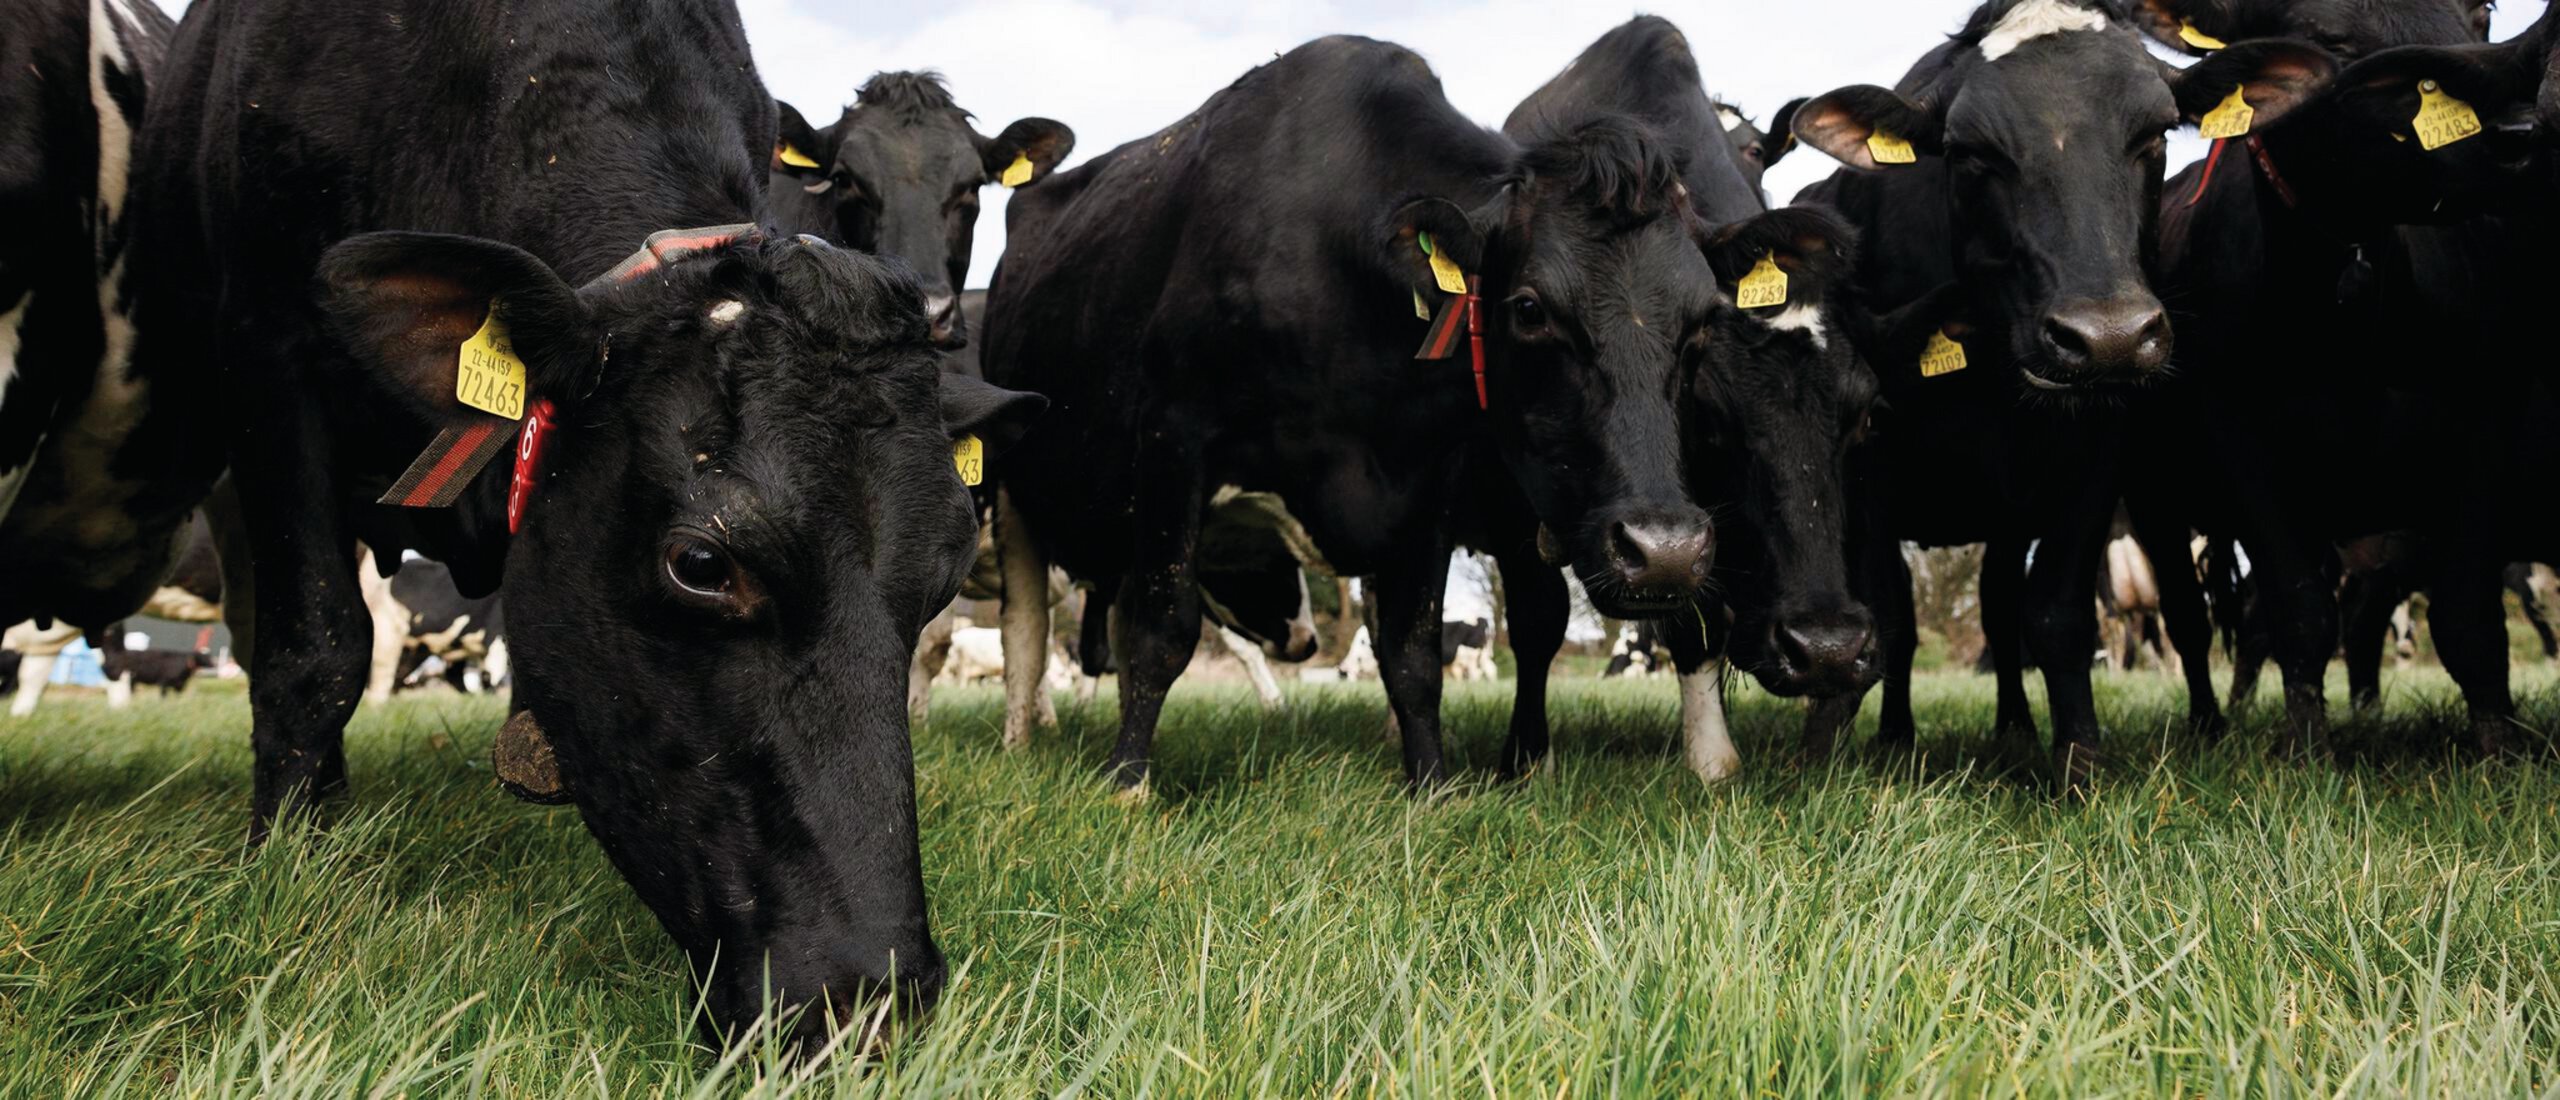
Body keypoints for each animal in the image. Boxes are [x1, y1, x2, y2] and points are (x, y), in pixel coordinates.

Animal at [131, 0, 1046, 1050]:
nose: (873, 997)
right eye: (701, 563)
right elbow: (314, 650)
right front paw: (288, 856)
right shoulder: (268, 363)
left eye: (946, 573)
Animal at [988, 36, 1725, 793]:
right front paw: (1128, 780)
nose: (1665, 550)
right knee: (1027, 632)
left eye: (1707, 319)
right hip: (1017, 493)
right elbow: (1164, 629)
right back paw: (1020, 740)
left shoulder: (1428, 481)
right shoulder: (1174, 438)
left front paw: (1432, 783)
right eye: (1528, 308)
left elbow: (1412, 650)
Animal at [1783, 0, 2332, 788]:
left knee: (2010, 605)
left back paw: (2020, 727)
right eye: (1970, 151)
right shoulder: (1870, 462)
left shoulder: (2094, 455)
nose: (2109, 335)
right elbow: (1889, 617)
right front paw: (1840, 748)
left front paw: (2079, 760)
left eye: (2155, 133)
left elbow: (2054, 614)